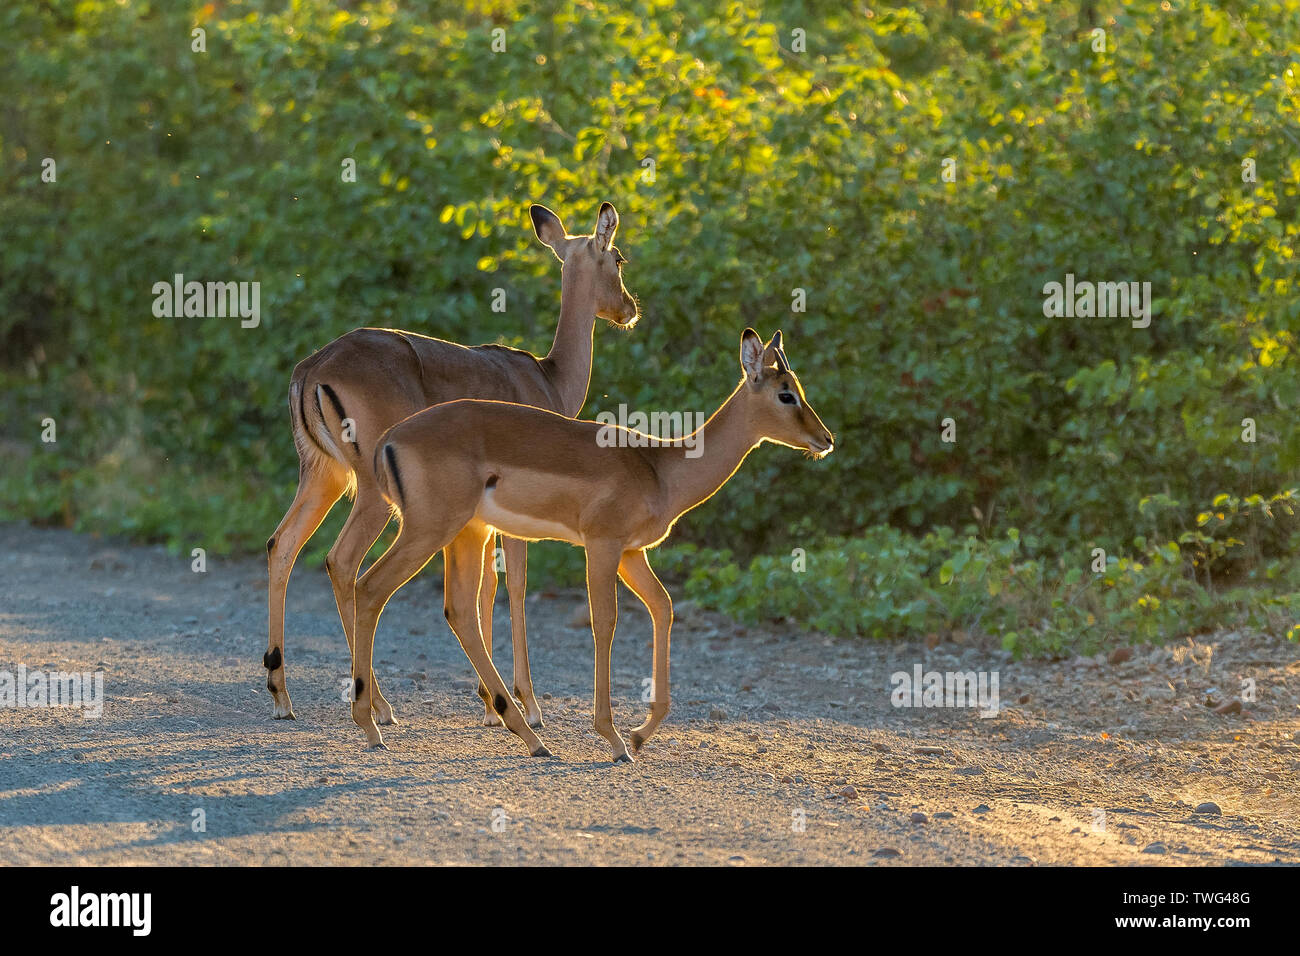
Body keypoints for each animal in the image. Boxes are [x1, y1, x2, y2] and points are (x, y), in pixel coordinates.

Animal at [264, 201, 637, 728]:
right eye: (618, 257)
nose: (629, 308)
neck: (548, 378)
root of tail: (312, 369)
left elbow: (483, 588)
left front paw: (490, 703)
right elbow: (514, 585)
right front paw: (527, 705)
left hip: (324, 477)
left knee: (283, 545)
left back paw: (284, 695)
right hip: (374, 494)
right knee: (344, 563)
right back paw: (378, 706)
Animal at [345, 328, 834, 760]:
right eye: (785, 394)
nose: (825, 439)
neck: (659, 466)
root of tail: (390, 438)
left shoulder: (632, 553)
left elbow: (663, 608)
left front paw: (639, 735)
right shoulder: (602, 544)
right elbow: (606, 622)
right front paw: (614, 739)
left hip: (468, 533)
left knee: (458, 610)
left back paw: (529, 736)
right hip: (430, 530)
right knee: (369, 587)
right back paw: (373, 725)